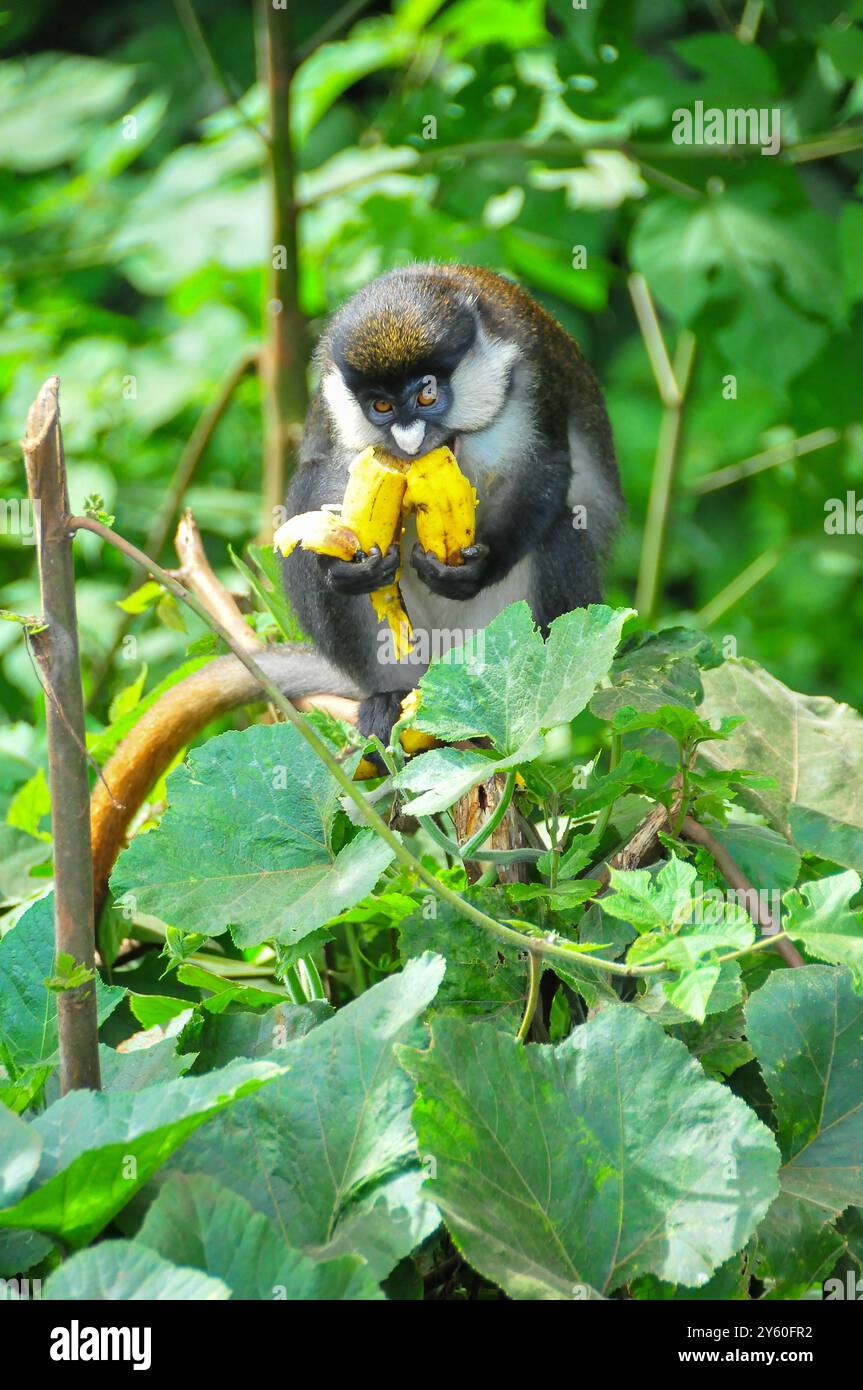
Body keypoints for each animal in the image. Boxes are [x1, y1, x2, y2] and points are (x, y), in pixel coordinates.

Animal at [281, 262, 622, 746]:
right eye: (381, 405)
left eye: (427, 394)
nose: (409, 442)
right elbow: (319, 475)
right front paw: (346, 567)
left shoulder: (531, 373)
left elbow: (546, 466)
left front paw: (474, 571)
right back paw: (389, 698)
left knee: (562, 530)